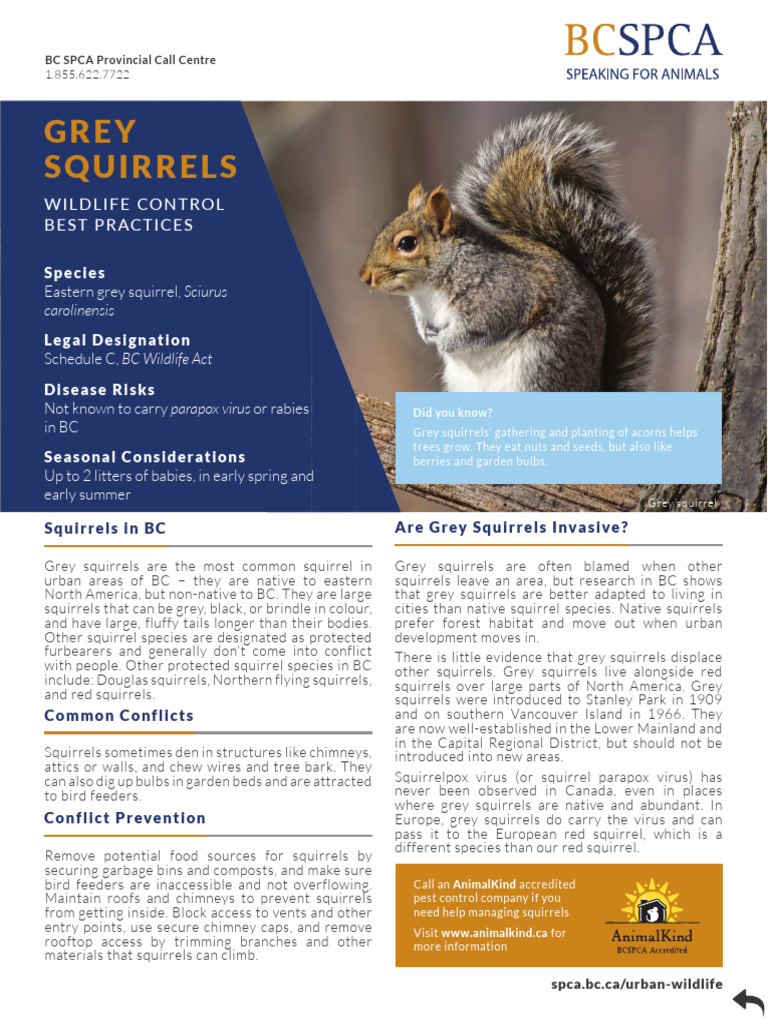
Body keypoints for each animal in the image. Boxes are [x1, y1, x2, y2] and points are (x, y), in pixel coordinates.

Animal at [359, 112, 656, 392]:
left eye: (407, 243)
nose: (365, 277)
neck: (428, 289)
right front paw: (425, 332)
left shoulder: (500, 293)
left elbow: (484, 325)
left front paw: (444, 341)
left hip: (540, 365)